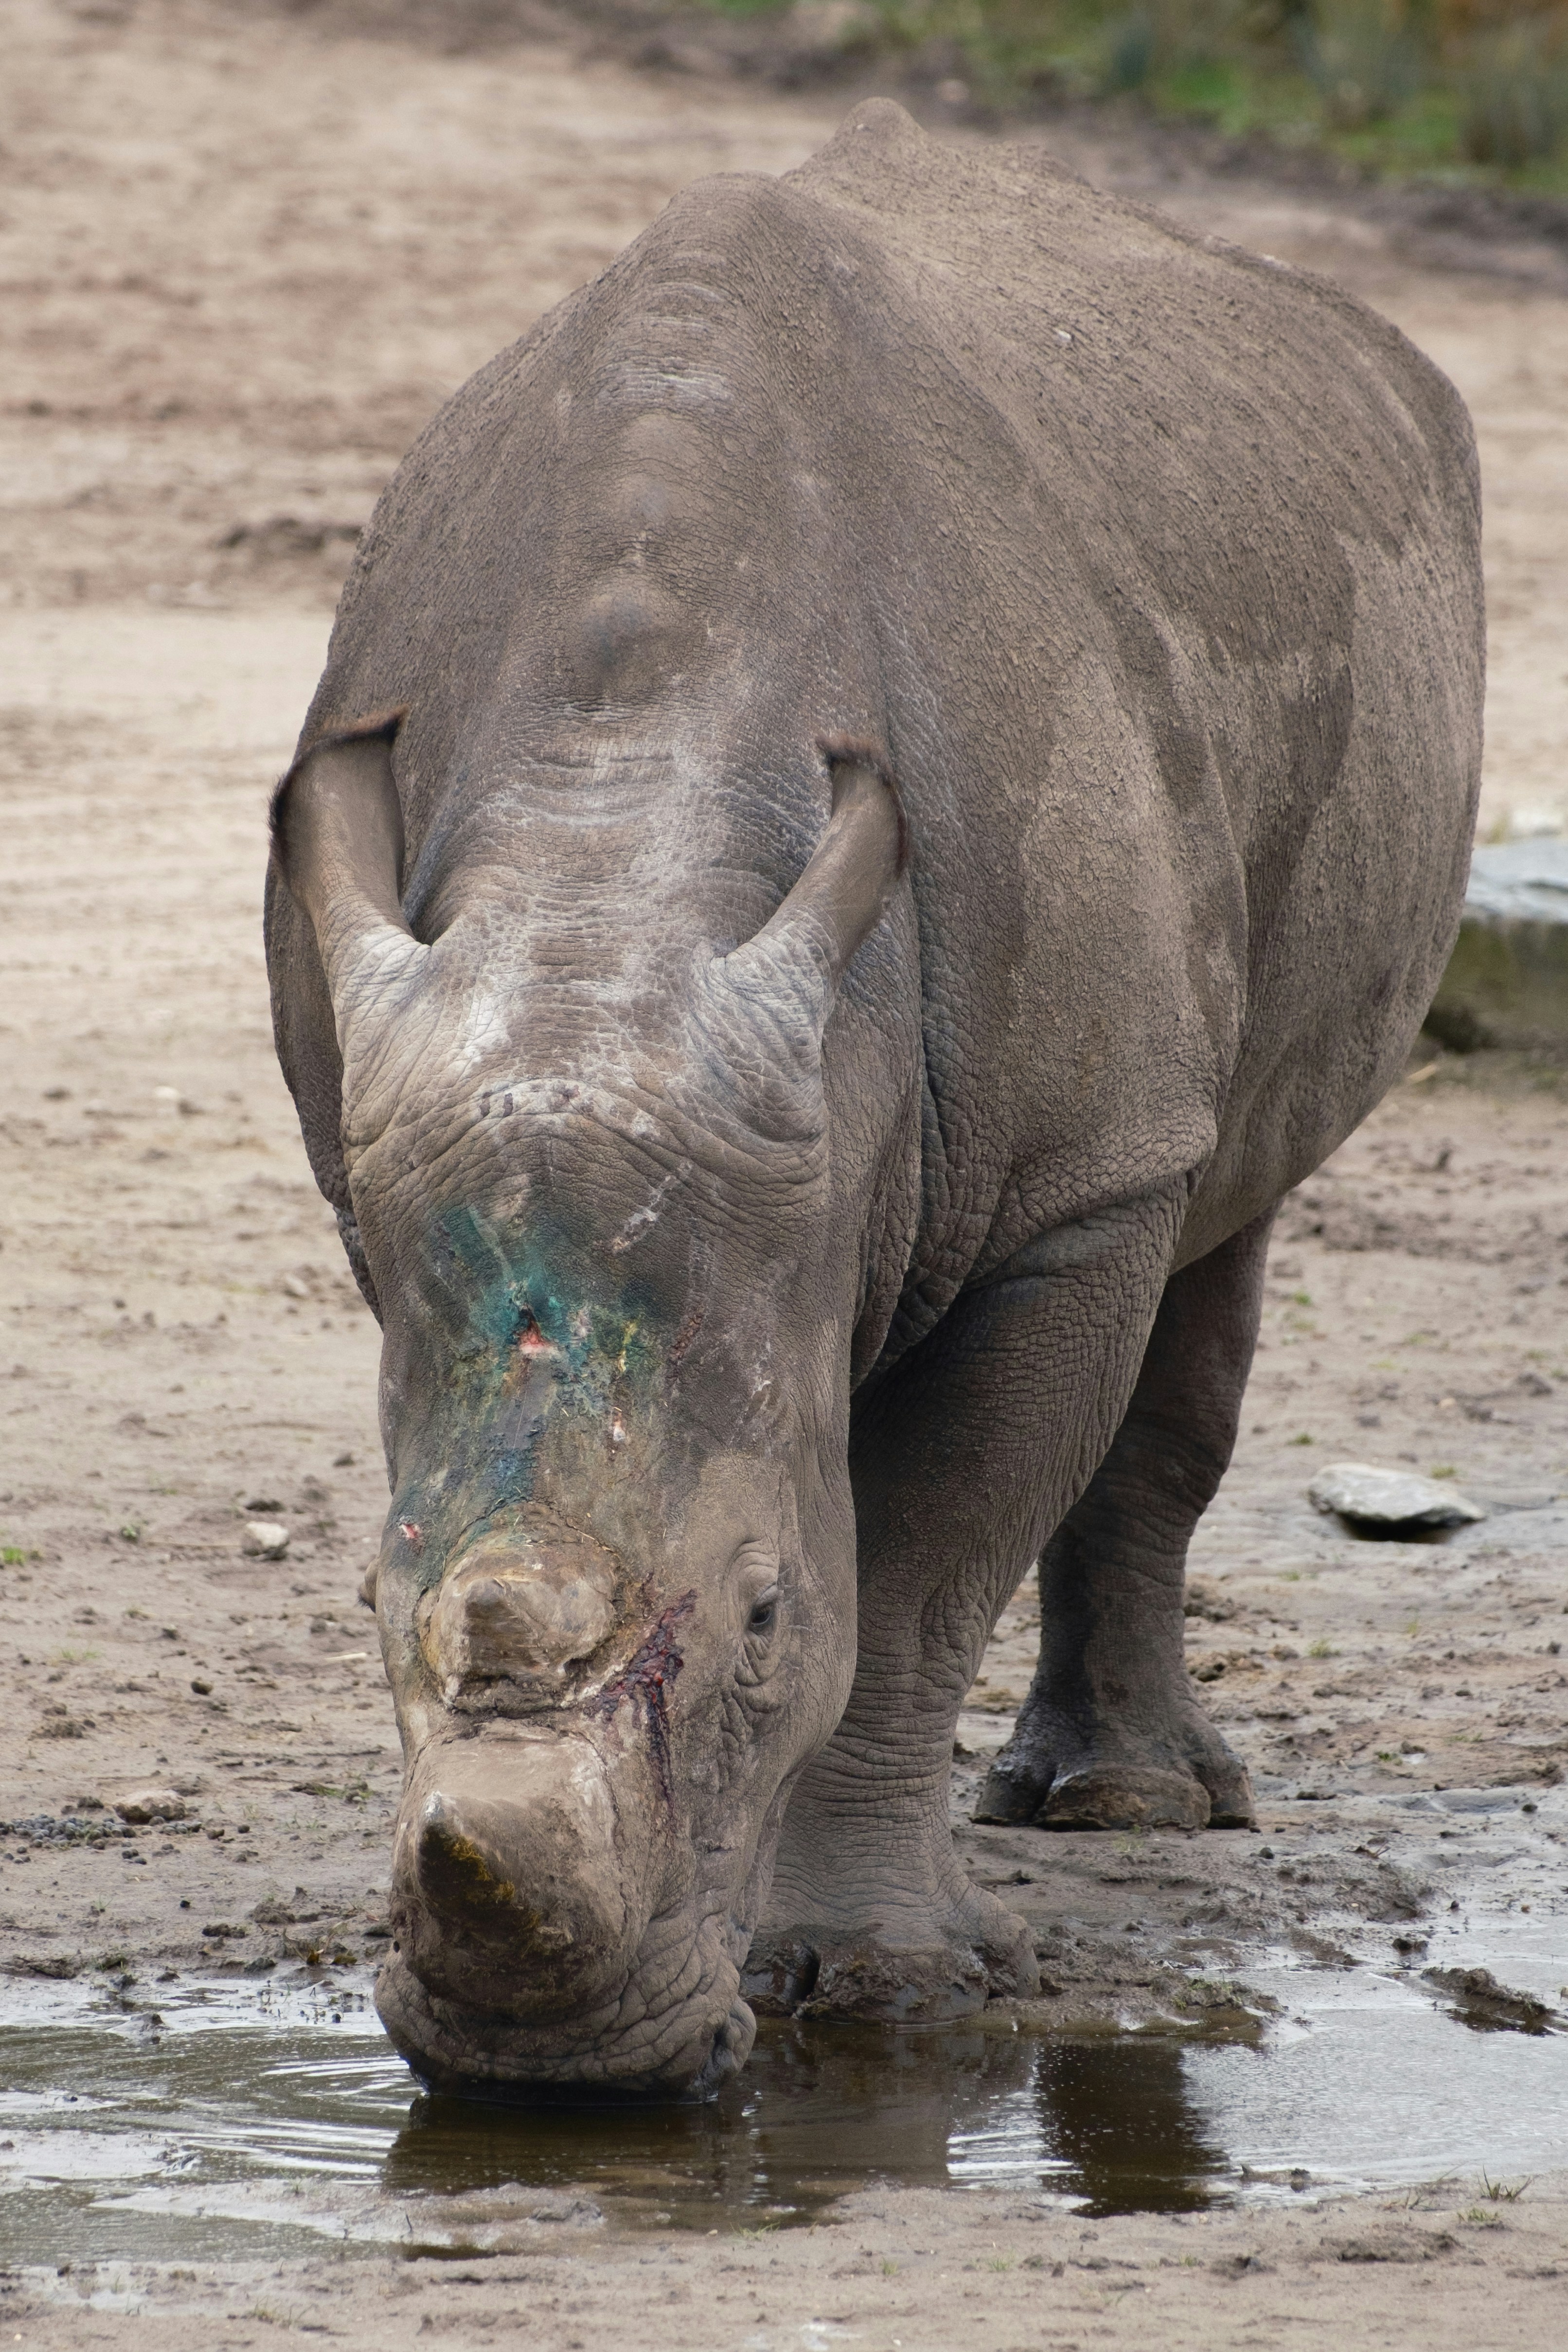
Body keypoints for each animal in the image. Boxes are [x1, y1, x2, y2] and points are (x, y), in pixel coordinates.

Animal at [264, 100, 1483, 2096]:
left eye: (767, 1613)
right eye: (364, 1610)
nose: (542, 2068)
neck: (618, 843)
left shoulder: (1074, 1181)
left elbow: (915, 1570)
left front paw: (875, 1982)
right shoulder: (404, 1136)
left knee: (1222, 1211)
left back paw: (1129, 1812)